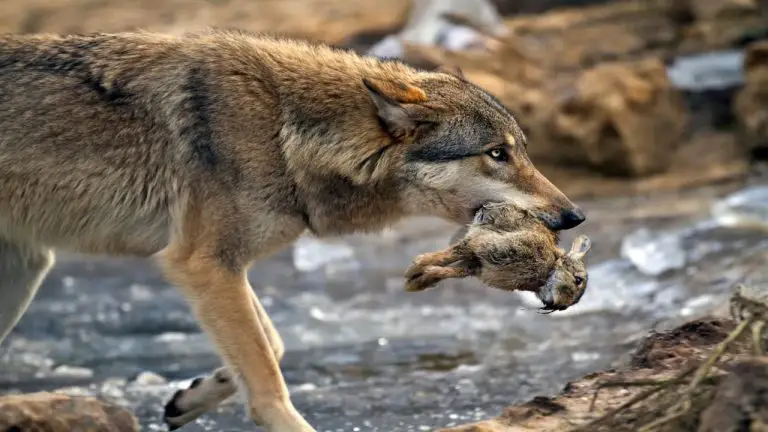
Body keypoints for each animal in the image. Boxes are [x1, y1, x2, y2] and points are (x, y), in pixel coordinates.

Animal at [0, 30, 585, 431]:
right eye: (496, 154)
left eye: (522, 150)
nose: (575, 216)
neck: (284, 130)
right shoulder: (202, 263)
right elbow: (268, 384)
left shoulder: (222, 269)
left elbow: (272, 344)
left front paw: (194, 395)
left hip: (27, 268)